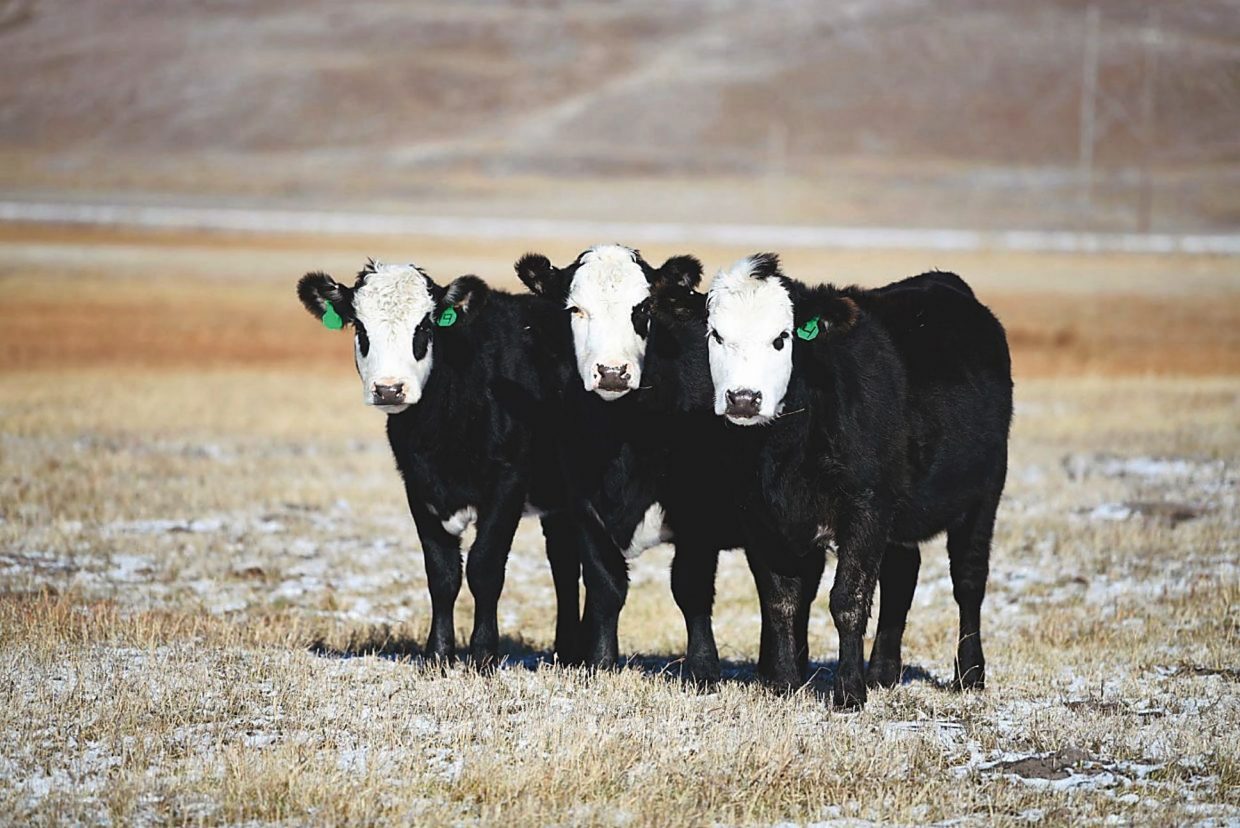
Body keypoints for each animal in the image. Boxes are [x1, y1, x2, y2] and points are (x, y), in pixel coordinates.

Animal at [297, 259, 586, 668]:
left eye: (424, 326)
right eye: (360, 327)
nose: (389, 389)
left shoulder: (508, 484)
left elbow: (484, 568)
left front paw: (483, 655)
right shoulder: (418, 485)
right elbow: (442, 574)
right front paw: (438, 653)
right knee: (564, 563)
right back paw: (567, 652)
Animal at [516, 244, 743, 684]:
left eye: (643, 308)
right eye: (575, 309)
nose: (612, 372)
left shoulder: (699, 509)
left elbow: (690, 587)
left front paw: (703, 670)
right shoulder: (582, 505)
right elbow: (605, 584)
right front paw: (600, 661)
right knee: (565, 571)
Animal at [704, 254, 1012, 708]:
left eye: (782, 338)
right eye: (716, 335)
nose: (743, 399)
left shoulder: (867, 504)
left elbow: (848, 600)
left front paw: (848, 692)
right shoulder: (761, 518)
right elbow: (780, 601)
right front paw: (784, 684)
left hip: (983, 494)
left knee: (969, 581)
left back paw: (970, 673)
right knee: (902, 575)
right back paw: (883, 672)